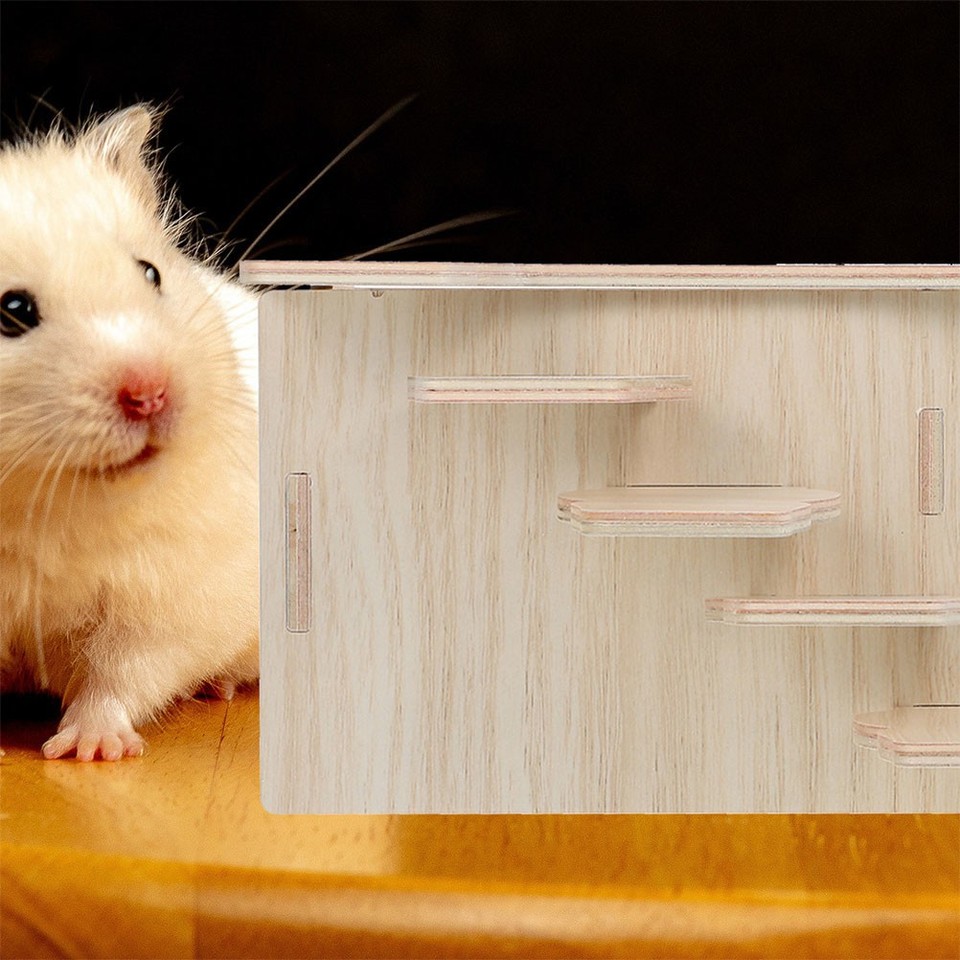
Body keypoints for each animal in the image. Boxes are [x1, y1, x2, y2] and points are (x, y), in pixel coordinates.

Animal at [0, 106, 260, 760]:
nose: (151, 395)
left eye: (151, 273)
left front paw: (87, 749)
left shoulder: (172, 591)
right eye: (12, 311)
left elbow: (122, 669)